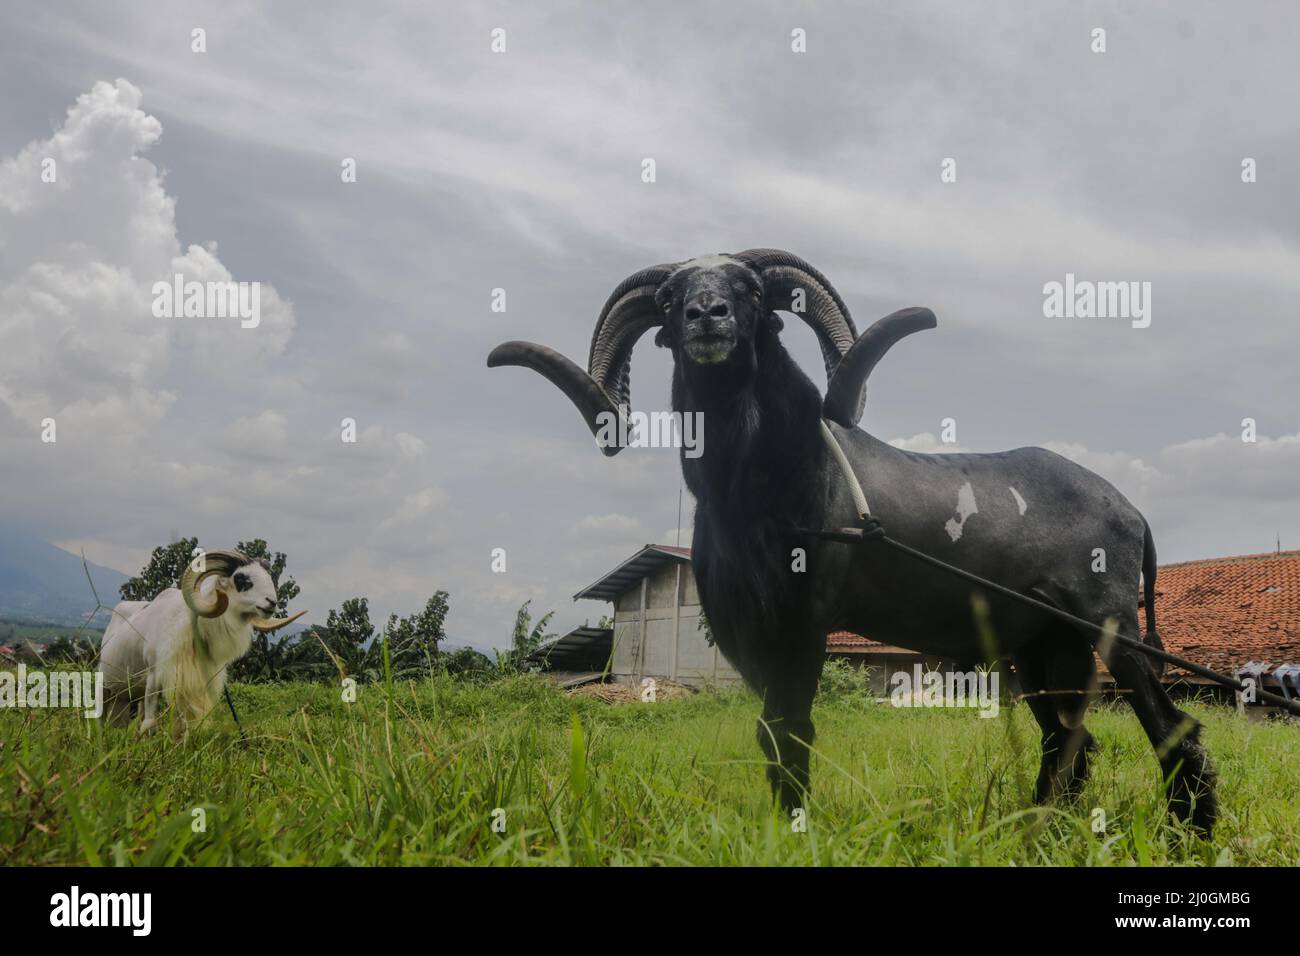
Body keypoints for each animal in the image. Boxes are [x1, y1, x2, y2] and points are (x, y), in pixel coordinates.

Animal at [98, 549, 304, 738]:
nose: (272, 603)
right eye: (241, 578)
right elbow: (149, 724)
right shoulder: (155, 676)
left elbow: (180, 727)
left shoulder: (192, 685)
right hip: (105, 685)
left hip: (127, 696)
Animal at [488, 248, 1217, 834]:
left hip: (1112, 630)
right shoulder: (745, 632)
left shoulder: (803, 623)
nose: (708, 315)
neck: (759, 487)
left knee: (1172, 731)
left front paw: (796, 828)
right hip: (1045, 651)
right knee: (1071, 744)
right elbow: (771, 735)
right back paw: (1039, 830)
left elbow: (794, 732)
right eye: (670, 297)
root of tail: (1130, 511)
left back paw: (1190, 833)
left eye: (750, 288)